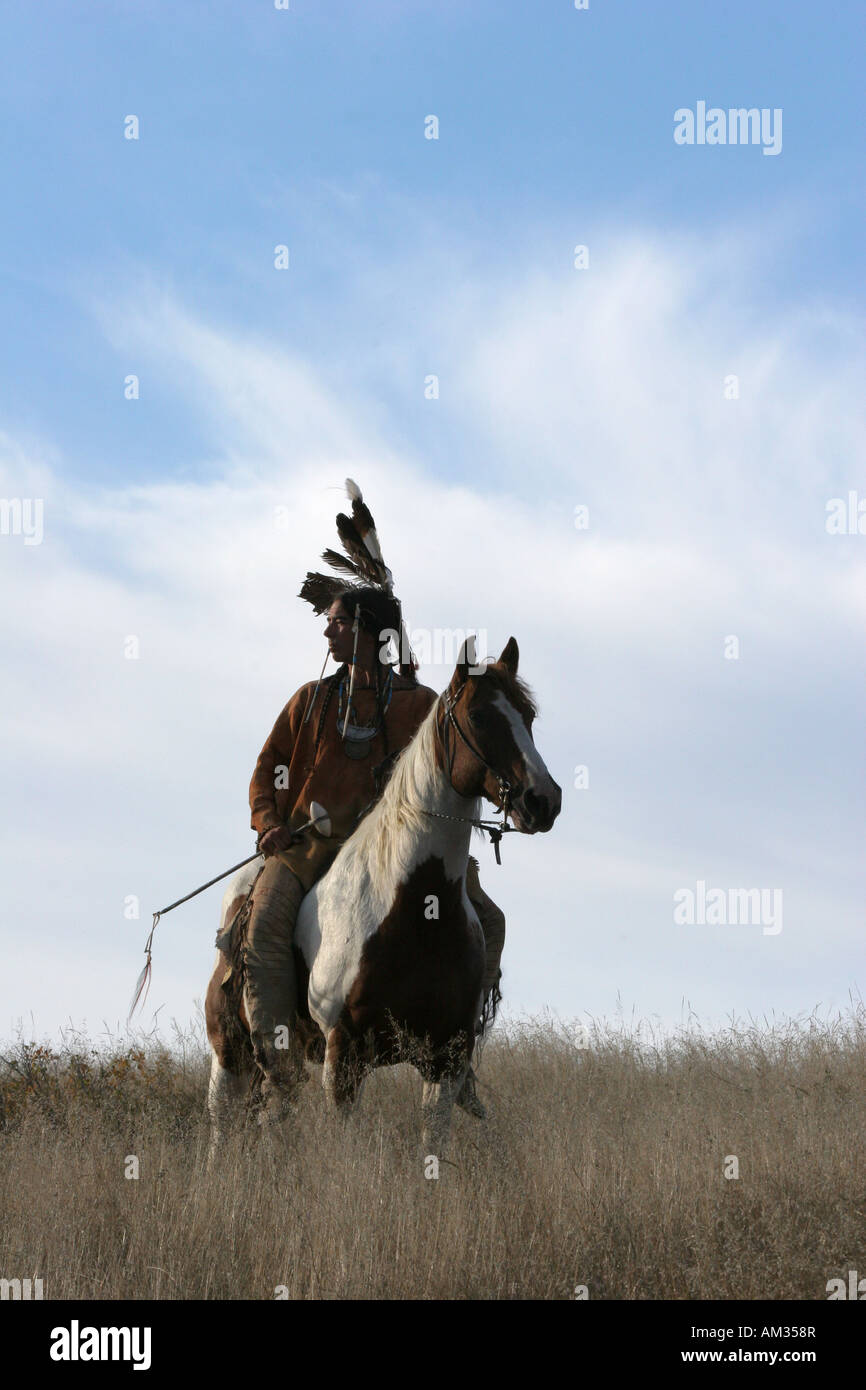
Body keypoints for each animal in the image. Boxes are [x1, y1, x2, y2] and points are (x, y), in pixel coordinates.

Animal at [205, 636, 561, 1159]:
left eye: (528, 716)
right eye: (479, 716)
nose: (544, 800)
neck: (414, 906)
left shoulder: (445, 1057)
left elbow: (432, 1141)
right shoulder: (344, 1053)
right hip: (229, 1052)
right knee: (226, 1116)